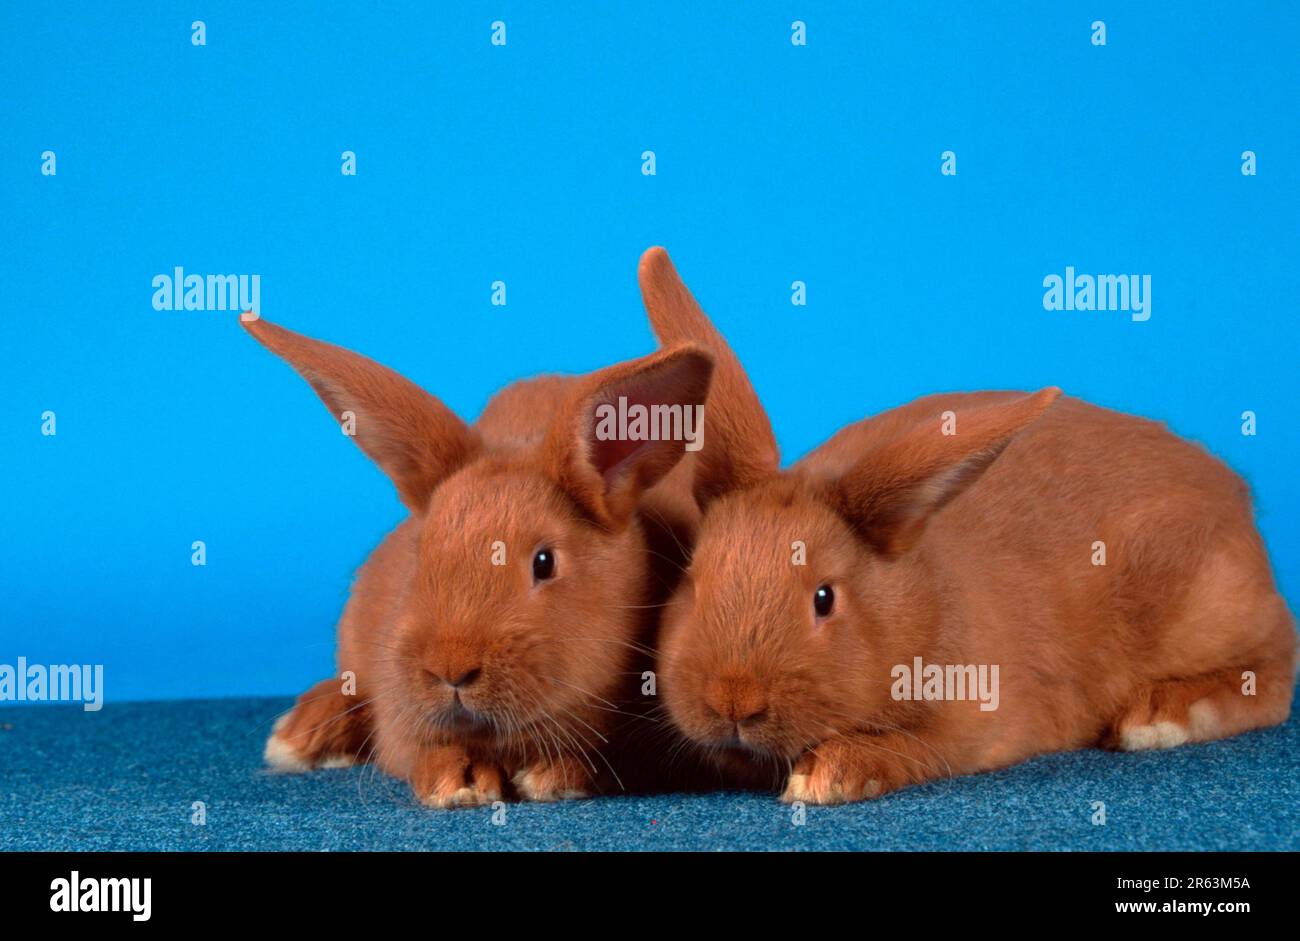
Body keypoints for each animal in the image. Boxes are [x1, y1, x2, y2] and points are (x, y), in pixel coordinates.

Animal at [242, 313, 715, 807]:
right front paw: (459, 780)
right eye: (419, 552)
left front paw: (554, 775)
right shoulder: (398, 716)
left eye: (544, 562)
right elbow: (415, 747)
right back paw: (300, 733)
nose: (450, 670)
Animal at [639, 256, 1297, 805]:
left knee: (1274, 666)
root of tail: (1232, 494)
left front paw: (829, 775)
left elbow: (922, 747)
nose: (734, 701)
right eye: (693, 579)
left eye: (824, 599)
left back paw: (1156, 718)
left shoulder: (981, 718)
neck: (917, 606)